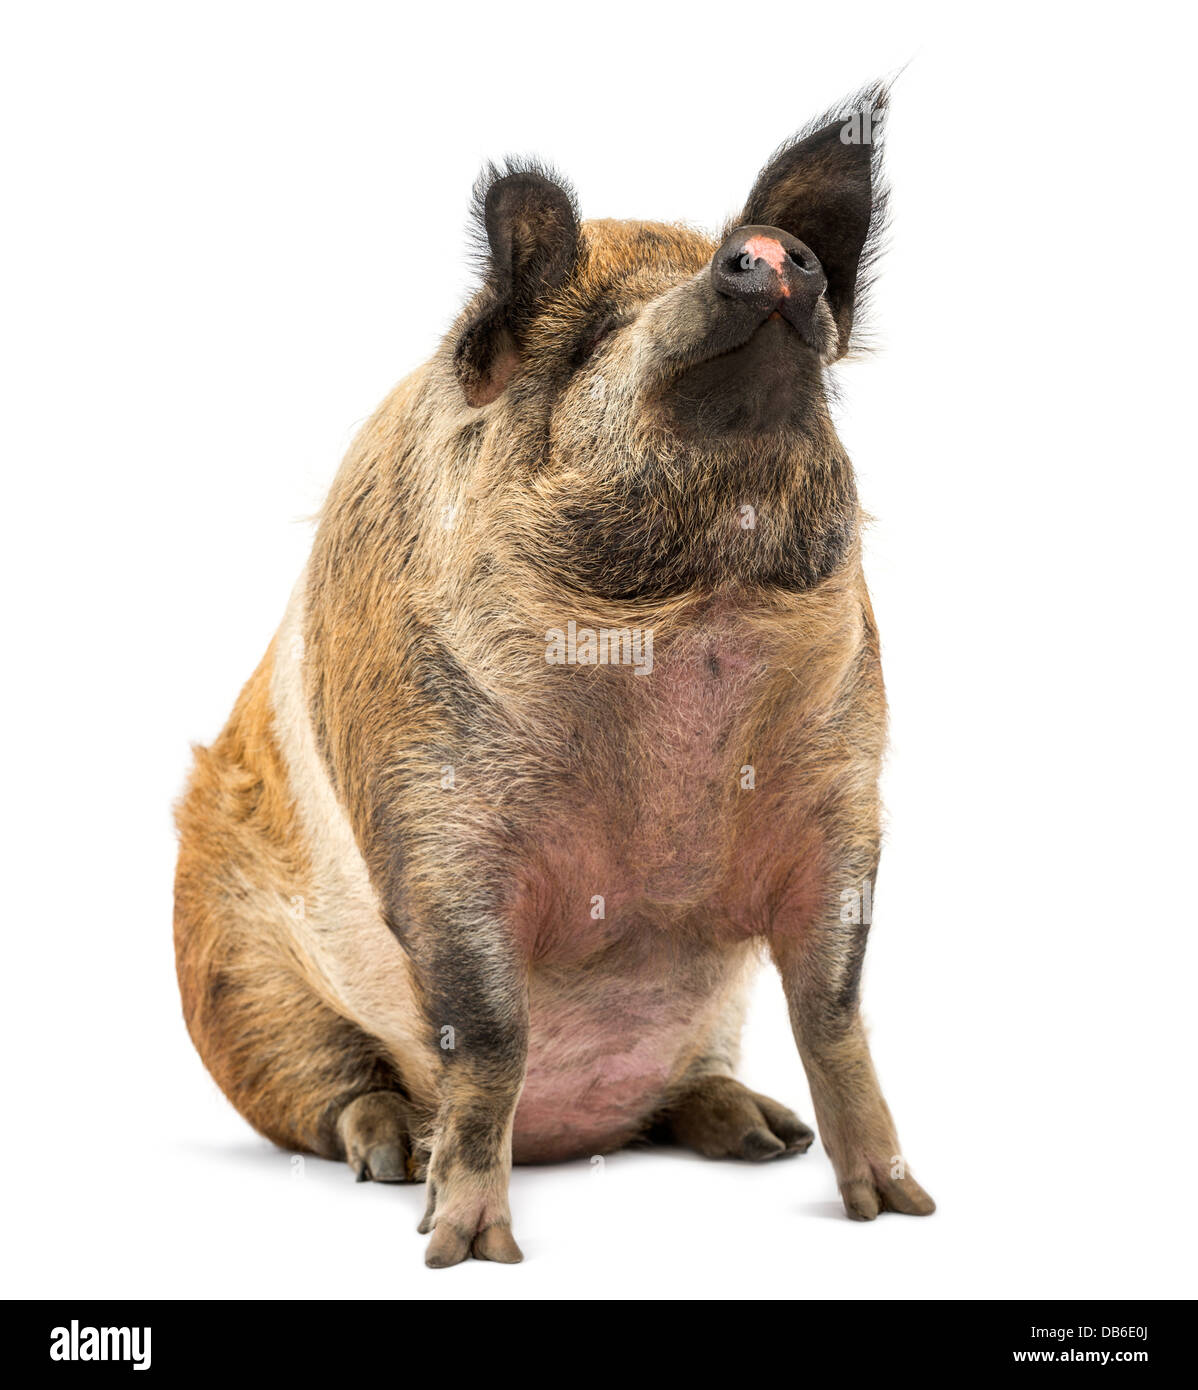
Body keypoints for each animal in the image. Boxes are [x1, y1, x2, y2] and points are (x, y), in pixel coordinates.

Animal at [173, 83, 935, 1268]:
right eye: (588, 339)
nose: (767, 253)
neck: (677, 632)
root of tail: (565, 1139)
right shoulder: (432, 810)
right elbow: (490, 1029)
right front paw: (464, 1250)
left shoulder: (843, 785)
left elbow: (834, 1004)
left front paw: (903, 1208)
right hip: (232, 979)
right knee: (328, 1081)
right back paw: (391, 1154)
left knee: (690, 1087)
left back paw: (764, 1134)